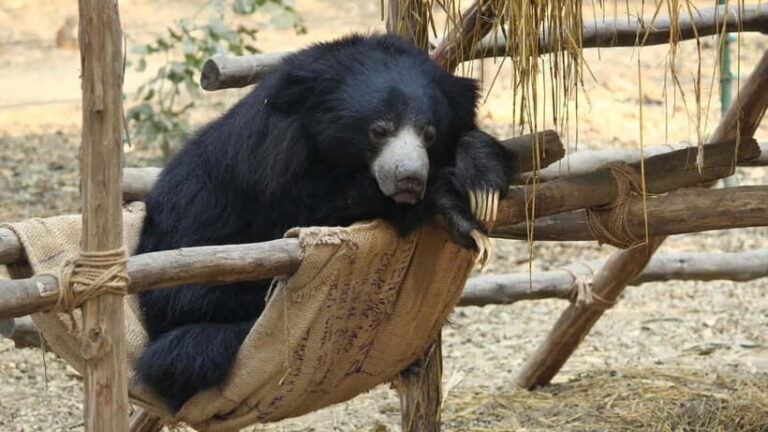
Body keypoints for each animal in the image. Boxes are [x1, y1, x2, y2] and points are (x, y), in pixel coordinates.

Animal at [134, 33, 516, 412]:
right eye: (379, 131)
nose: (409, 179)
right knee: (187, 349)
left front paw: (480, 179)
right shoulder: (267, 181)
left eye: (429, 133)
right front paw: (446, 202)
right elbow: (192, 291)